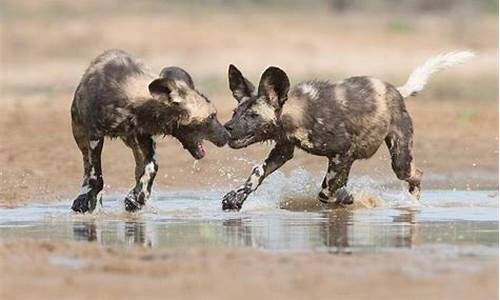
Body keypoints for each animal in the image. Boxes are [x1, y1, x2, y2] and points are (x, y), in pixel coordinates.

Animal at [71, 49, 229, 213]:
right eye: (212, 116)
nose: (228, 135)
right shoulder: (95, 136)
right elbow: (95, 177)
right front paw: (89, 201)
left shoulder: (144, 135)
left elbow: (152, 166)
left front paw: (137, 198)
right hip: (80, 134)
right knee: (87, 166)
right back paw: (83, 198)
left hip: (132, 141)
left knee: (138, 166)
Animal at [222, 51, 472, 210]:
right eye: (235, 112)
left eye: (253, 116)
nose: (227, 127)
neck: (298, 113)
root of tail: (396, 91)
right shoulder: (284, 149)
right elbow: (257, 173)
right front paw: (236, 198)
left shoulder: (342, 153)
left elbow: (325, 192)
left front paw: (346, 198)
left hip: (399, 159)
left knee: (415, 174)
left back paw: (411, 203)